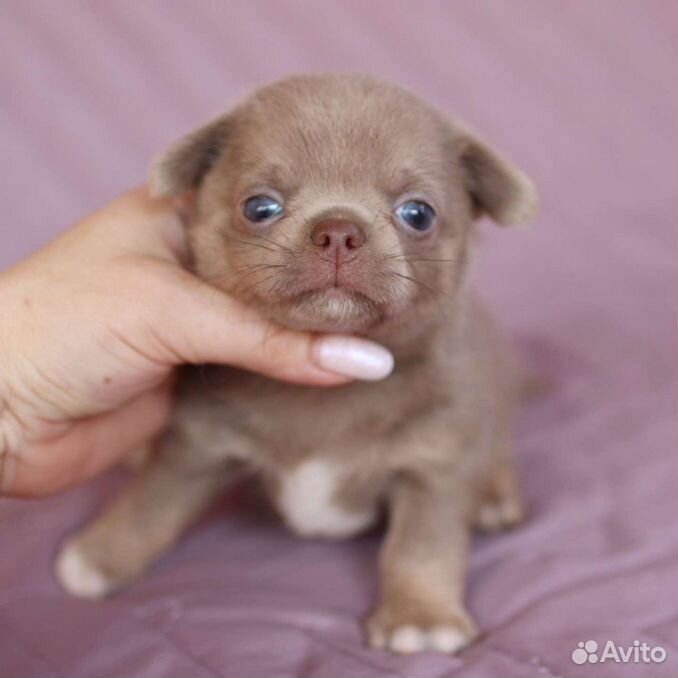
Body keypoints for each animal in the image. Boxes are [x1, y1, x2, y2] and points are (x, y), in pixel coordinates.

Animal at [55, 75, 540, 660]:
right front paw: (103, 555)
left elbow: (421, 546)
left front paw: (420, 615)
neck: (323, 397)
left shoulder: (436, 465)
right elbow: (152, 504)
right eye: (259, 207)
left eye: (418, 214)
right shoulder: (194, 446)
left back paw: (493, 494)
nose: (339, 230)